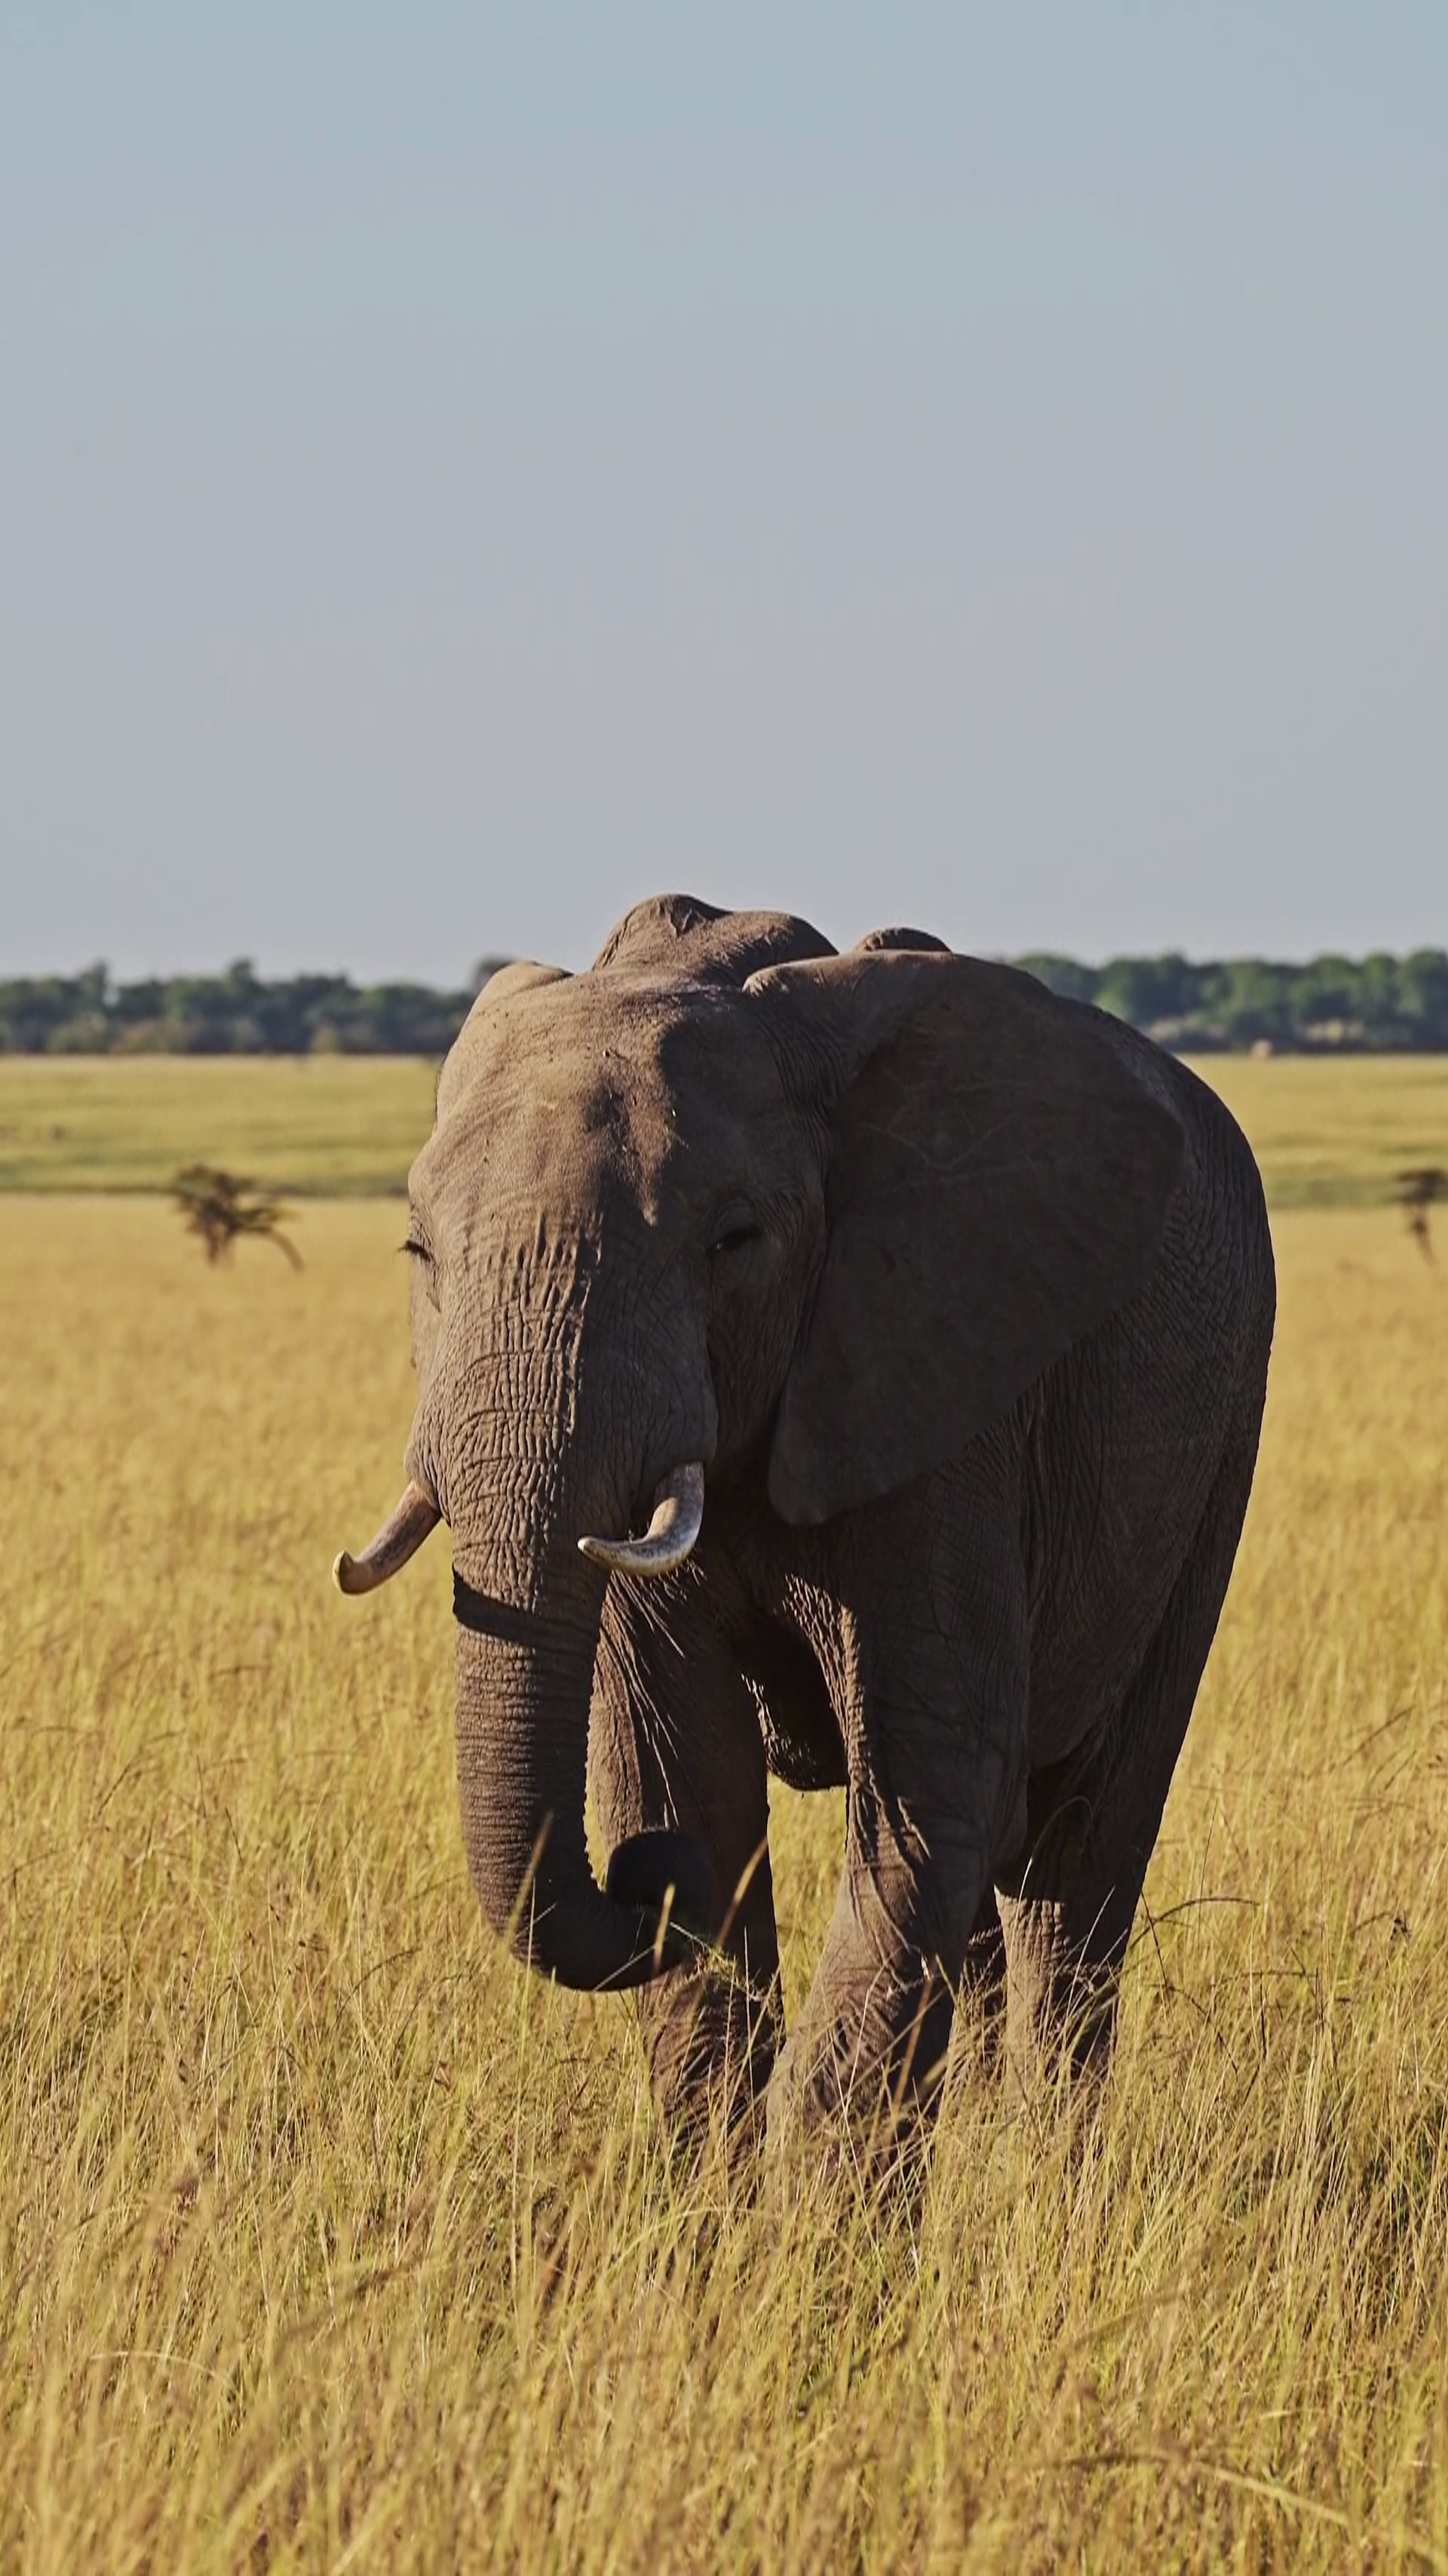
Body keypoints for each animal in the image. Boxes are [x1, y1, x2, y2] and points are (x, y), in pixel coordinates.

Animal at [335, 894, 1275, 2153]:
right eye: (419, 1251)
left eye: (734, 1241)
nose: (641, 1879)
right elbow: (688, 1784)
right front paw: (714, 2202)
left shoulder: (941, 1400)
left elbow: (930, 1793)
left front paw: (823, 2205)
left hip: (1218, 1437)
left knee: (1079, 1858)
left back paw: (1043, 2167)